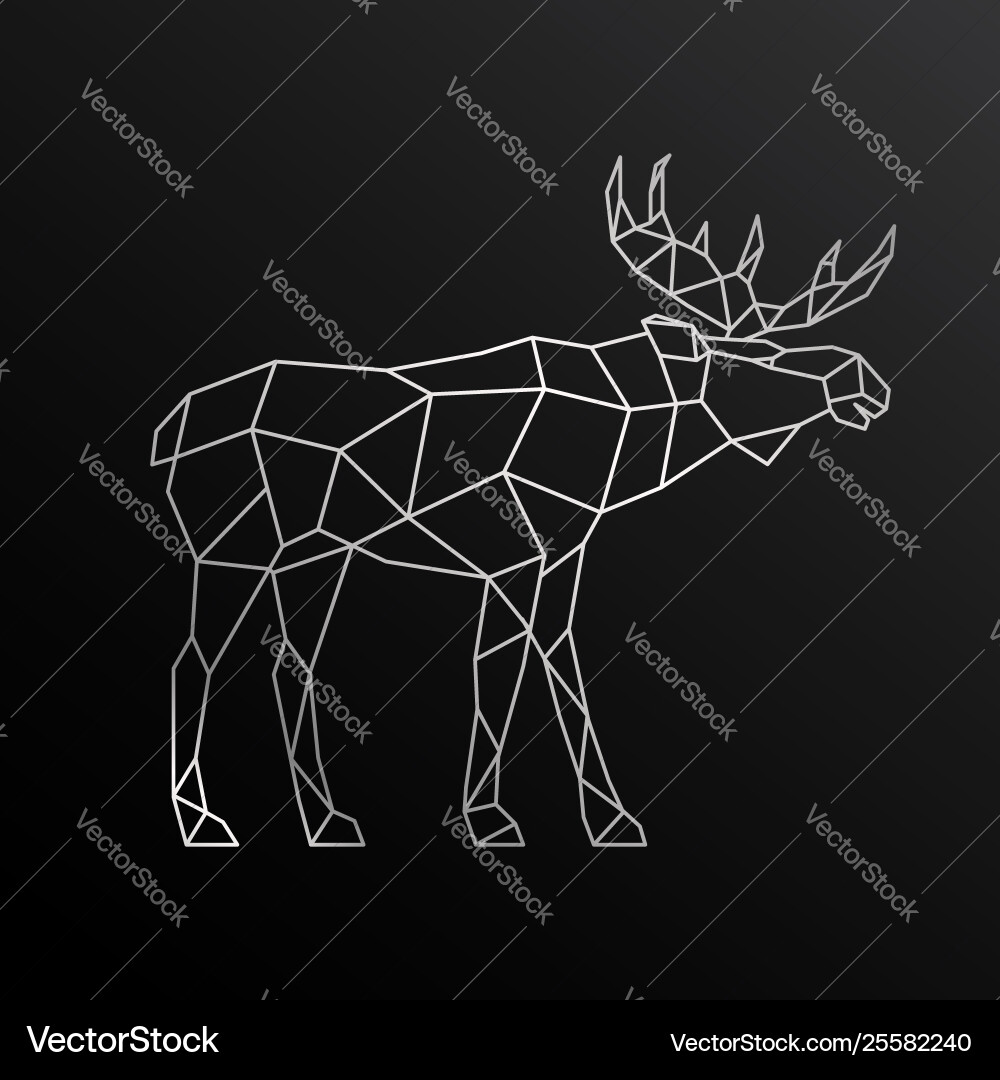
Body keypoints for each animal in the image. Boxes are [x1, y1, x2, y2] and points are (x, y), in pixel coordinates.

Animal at [152, 153, 894, 850]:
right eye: (742, 358)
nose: (864, 383)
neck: (624, 446)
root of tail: (167, 433)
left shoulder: (557, 558)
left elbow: (554, 661)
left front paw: (608, 819)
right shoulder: (514, 561)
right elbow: (504, 670)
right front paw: (492, 820)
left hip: (318, 558)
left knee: (291, 663)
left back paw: (329, 820)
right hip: (235, 549)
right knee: (197, 657)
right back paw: (202, 820)